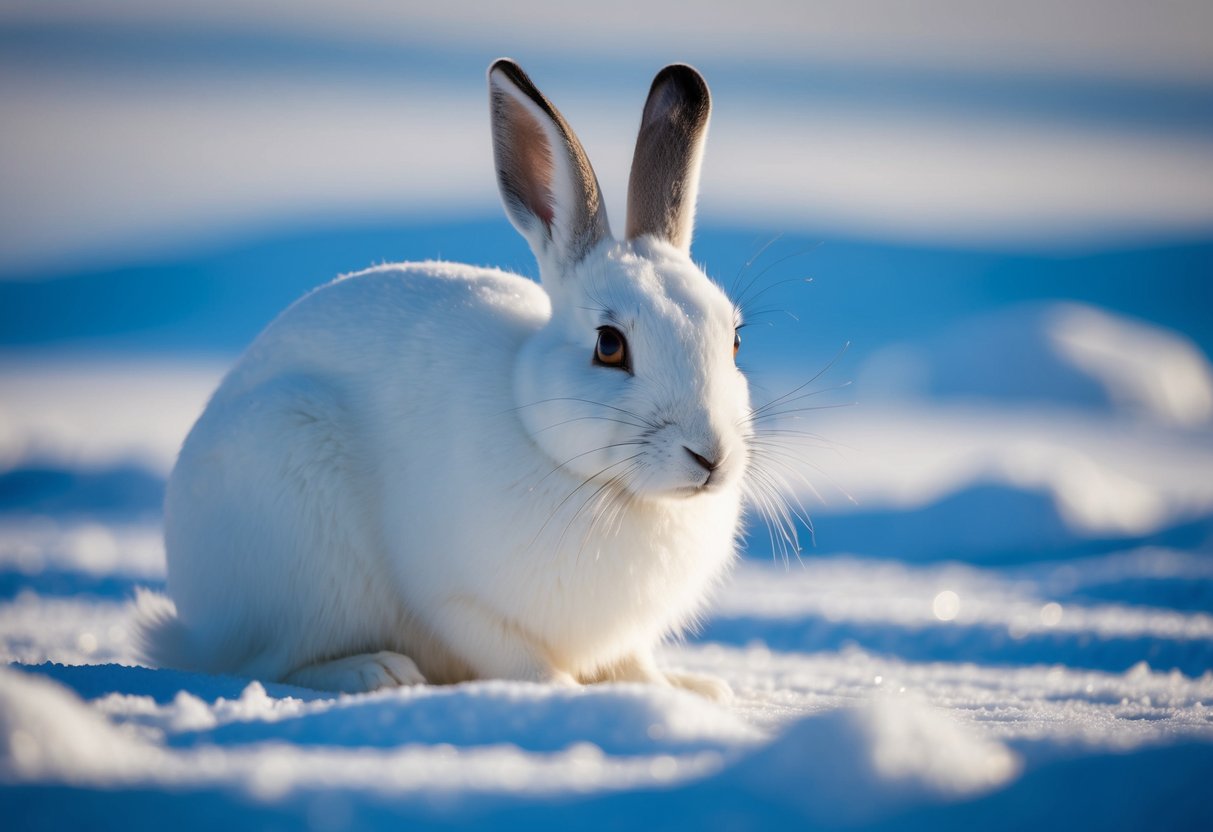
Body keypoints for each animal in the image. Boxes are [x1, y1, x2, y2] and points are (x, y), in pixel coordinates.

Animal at [135, 58, 755, 700]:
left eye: (734, 338)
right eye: (609, 346)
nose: (710, 457)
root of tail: (194, 625)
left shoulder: (620, 636)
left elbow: (632, 663)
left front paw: (686, 691)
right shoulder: (456, 602)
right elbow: (516, 656)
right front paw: (561, 691)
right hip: (297, 518)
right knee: (269, 660)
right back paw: (376, 671)